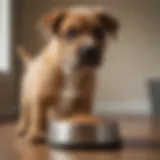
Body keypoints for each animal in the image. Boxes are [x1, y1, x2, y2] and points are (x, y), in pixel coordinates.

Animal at [16, 6, 119, 142]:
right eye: (71, 33)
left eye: (98, 32)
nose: (90, 49)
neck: (72, 72)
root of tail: (32, 63)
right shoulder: (41, 99)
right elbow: (38, 116)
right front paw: (36, 134)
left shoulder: (84, 102)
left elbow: (83, 115)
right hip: (26, 100)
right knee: (26, 115)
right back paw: (22, 127)